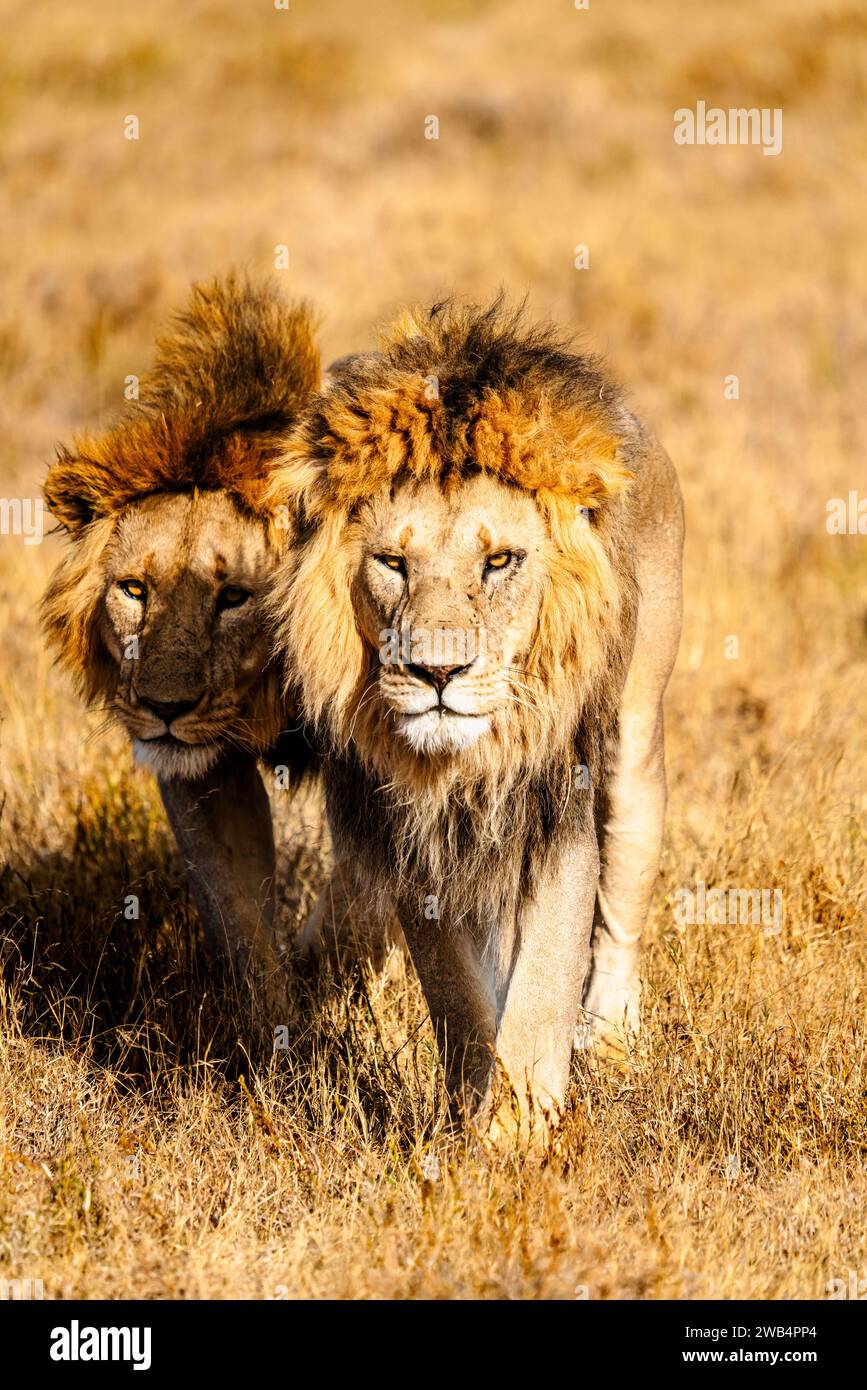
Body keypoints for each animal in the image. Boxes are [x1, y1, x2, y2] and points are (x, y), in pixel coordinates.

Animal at [41, 274, 321, 985]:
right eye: (135, 590)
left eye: (234, 597)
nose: (164, 708)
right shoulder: (202, 776)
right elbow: (239, 921)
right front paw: (274, 1012)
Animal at [265, 297, 684, 1142]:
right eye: (391, 563)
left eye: (499, 563)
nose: (436, 674)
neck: (468, 762)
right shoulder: (412, 839)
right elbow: (456, 994)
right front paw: (475, 1110)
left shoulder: (558, 809)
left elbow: (546, 979)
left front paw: (519, 1133)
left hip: (632, 742)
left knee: (621, 906)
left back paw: (612, 1039)